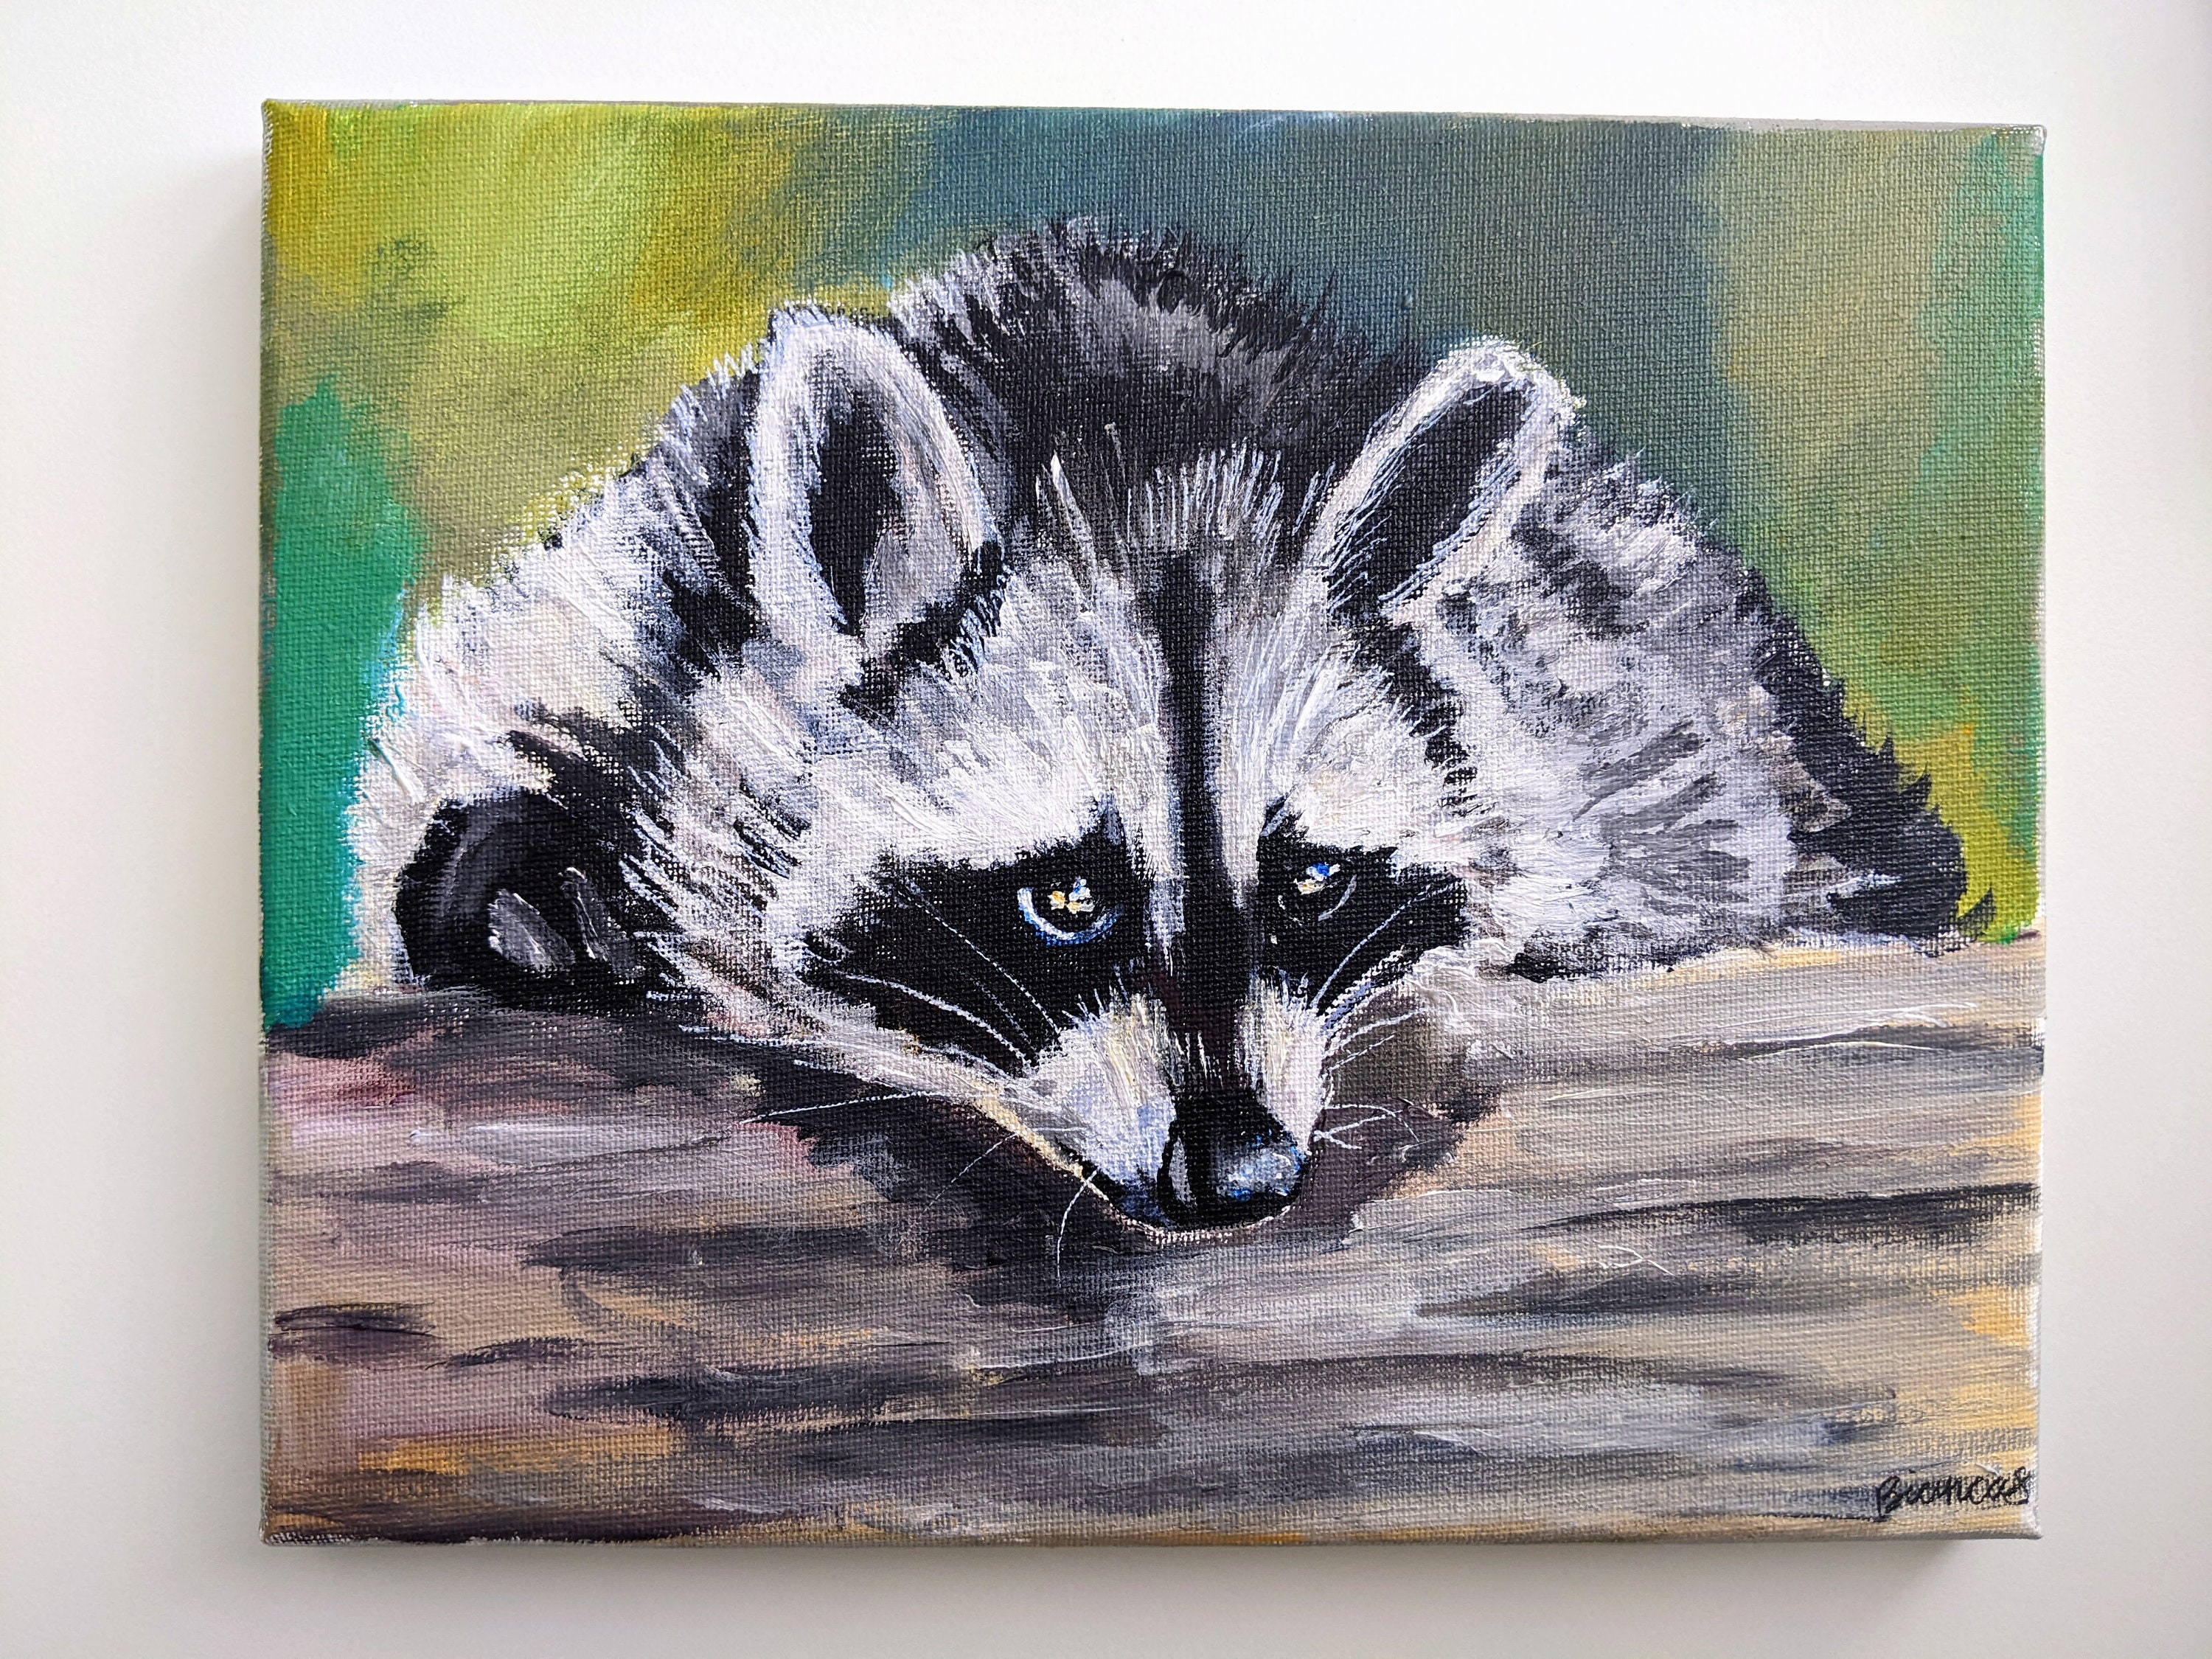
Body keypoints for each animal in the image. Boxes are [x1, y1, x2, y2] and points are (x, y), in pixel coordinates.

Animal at [352, 224, 1966, 1231]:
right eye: (1068, 896)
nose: (1238, 1173)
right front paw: (539, 874)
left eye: (1312, 878)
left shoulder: (1640, 740)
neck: (1127, 430)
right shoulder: (598, 611)